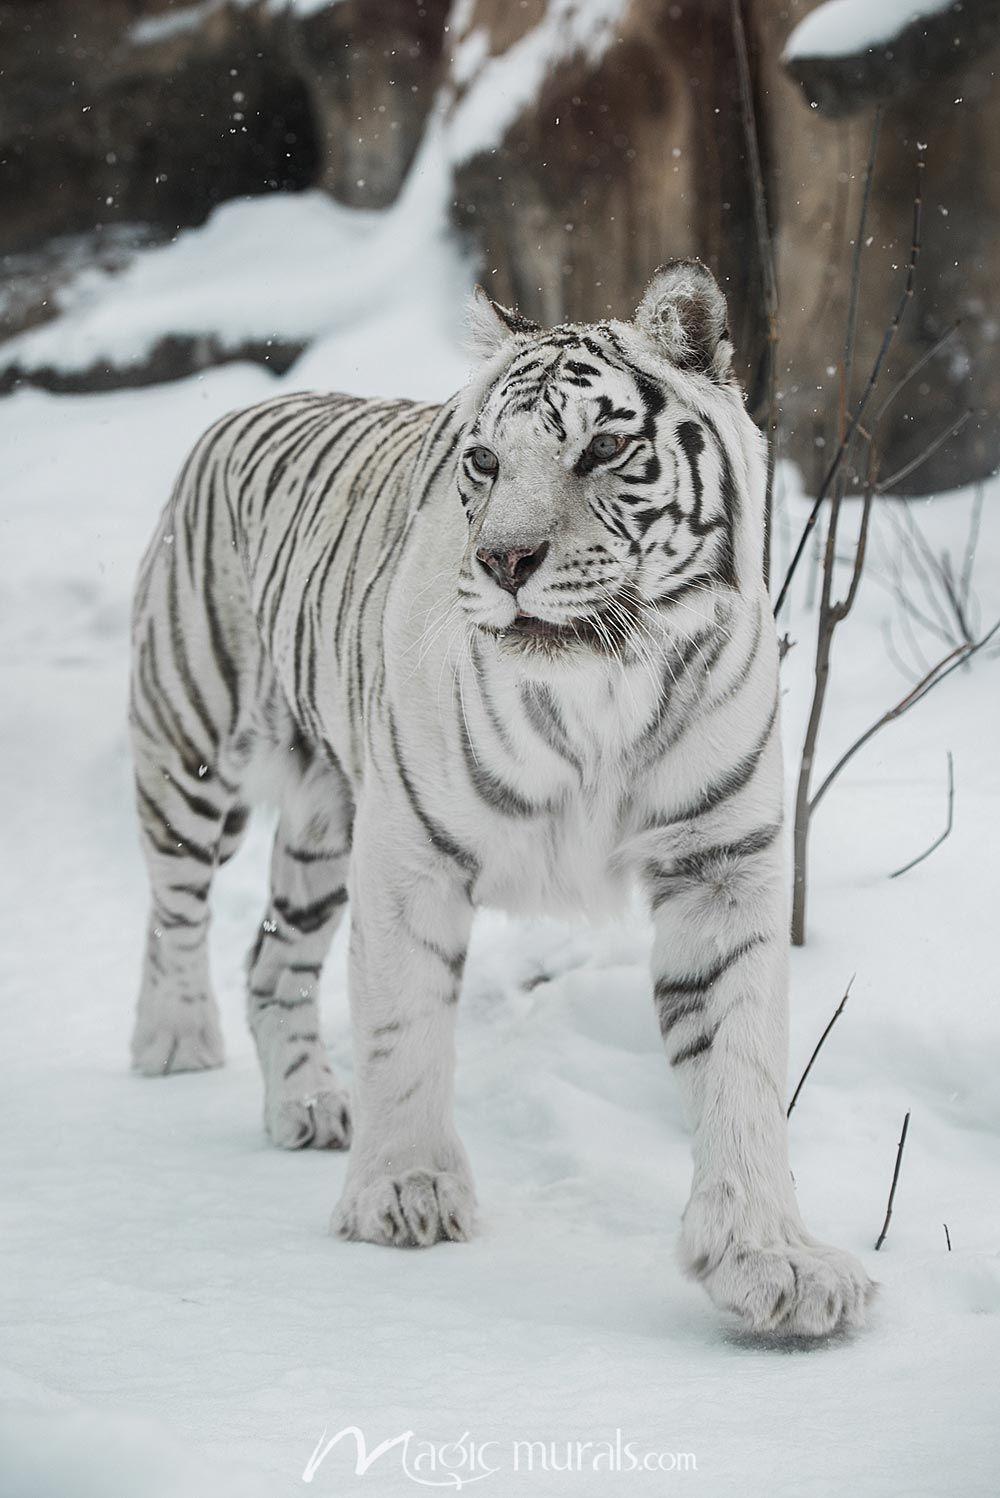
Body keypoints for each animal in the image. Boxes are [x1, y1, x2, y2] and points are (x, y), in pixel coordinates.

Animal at [129, 260, 873, 1336]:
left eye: (603, 447)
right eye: (482, 460)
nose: (503, 560)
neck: (607, 686)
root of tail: (246, 406)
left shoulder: (721, 864)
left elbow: (741, 1065)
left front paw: (772, 1261)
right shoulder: (409, 854)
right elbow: (405, 1029)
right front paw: (403, 1193)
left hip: (322, 822)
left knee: (272, 960)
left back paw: (307, 1105)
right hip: (194, 743)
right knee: (175, 907)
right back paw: (175, 1040)